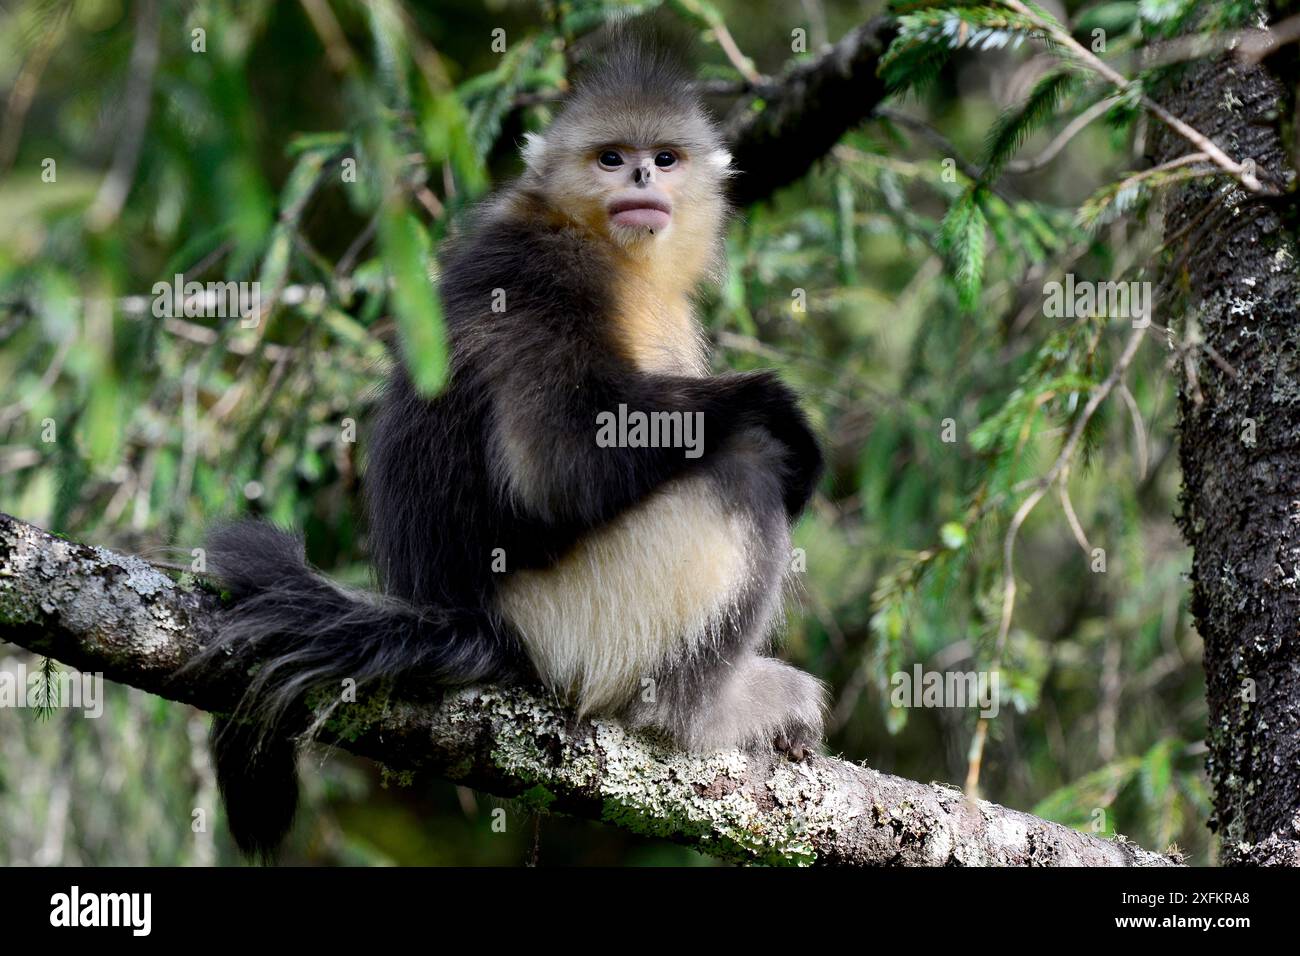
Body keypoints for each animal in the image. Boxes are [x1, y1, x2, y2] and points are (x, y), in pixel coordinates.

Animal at [196, 26, 827, 860]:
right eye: (609, 157)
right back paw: (697, 714)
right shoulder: (552, 277)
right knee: (745, 470)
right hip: (583, 616)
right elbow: (557, 464)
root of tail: (476, 622)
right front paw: (775, 406)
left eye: (664, 158)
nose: (638, 178)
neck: (607, 247)